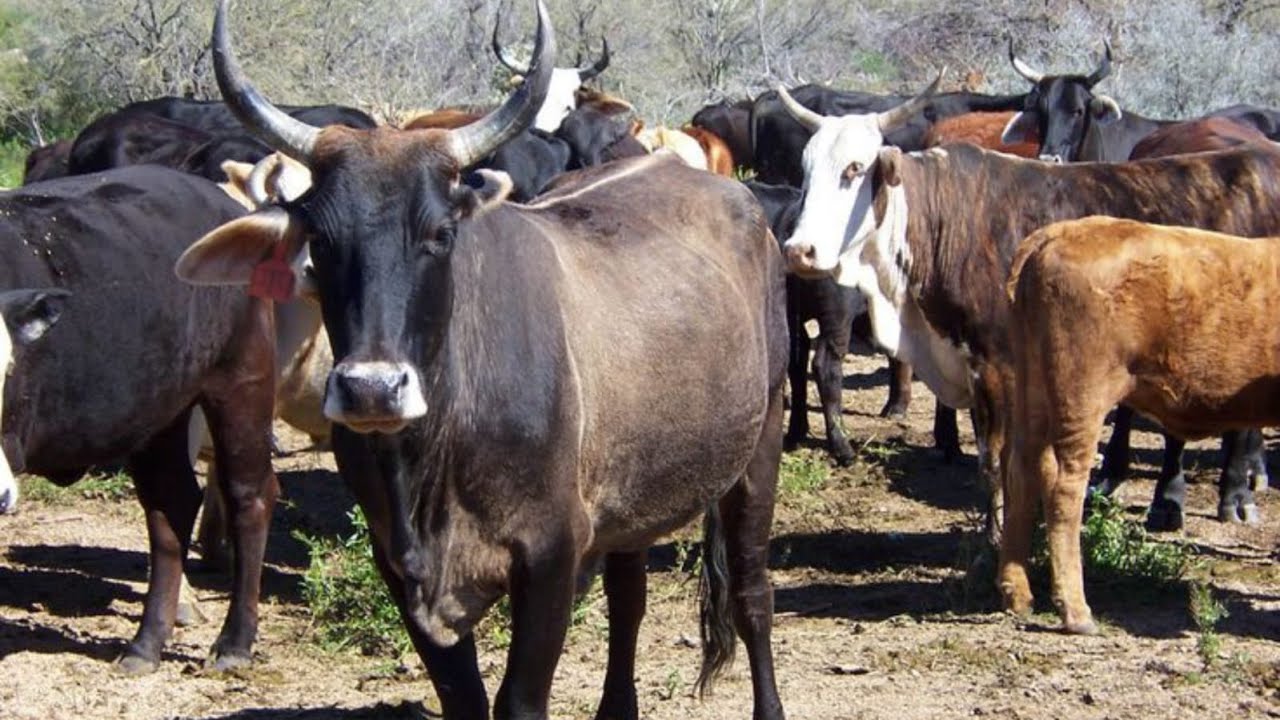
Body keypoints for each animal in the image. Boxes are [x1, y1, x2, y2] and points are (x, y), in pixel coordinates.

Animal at [175, 2, 787, 719]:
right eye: (320, 241)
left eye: (440, 234)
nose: (371, 390)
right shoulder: (399, 564)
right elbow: (464, 697)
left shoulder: (550, 557)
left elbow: (519, 699)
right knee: (628, 600)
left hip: (761, 445)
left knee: (751, 592)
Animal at [774, 76, 1280, 577]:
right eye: (806, 168)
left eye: (854, 168)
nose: (799, 250)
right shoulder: (973, 364)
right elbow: (988, 460)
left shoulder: (1001, 367)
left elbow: (1004, 460)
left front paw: (1004, 542)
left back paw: (1235, 495)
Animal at [1004, 216, 1280, 635]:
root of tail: (1057, 234)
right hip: (1081, 394)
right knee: (1065, 489)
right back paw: (1076, 611)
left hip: (1032, 388)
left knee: (1020, 470)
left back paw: (1016, 594)